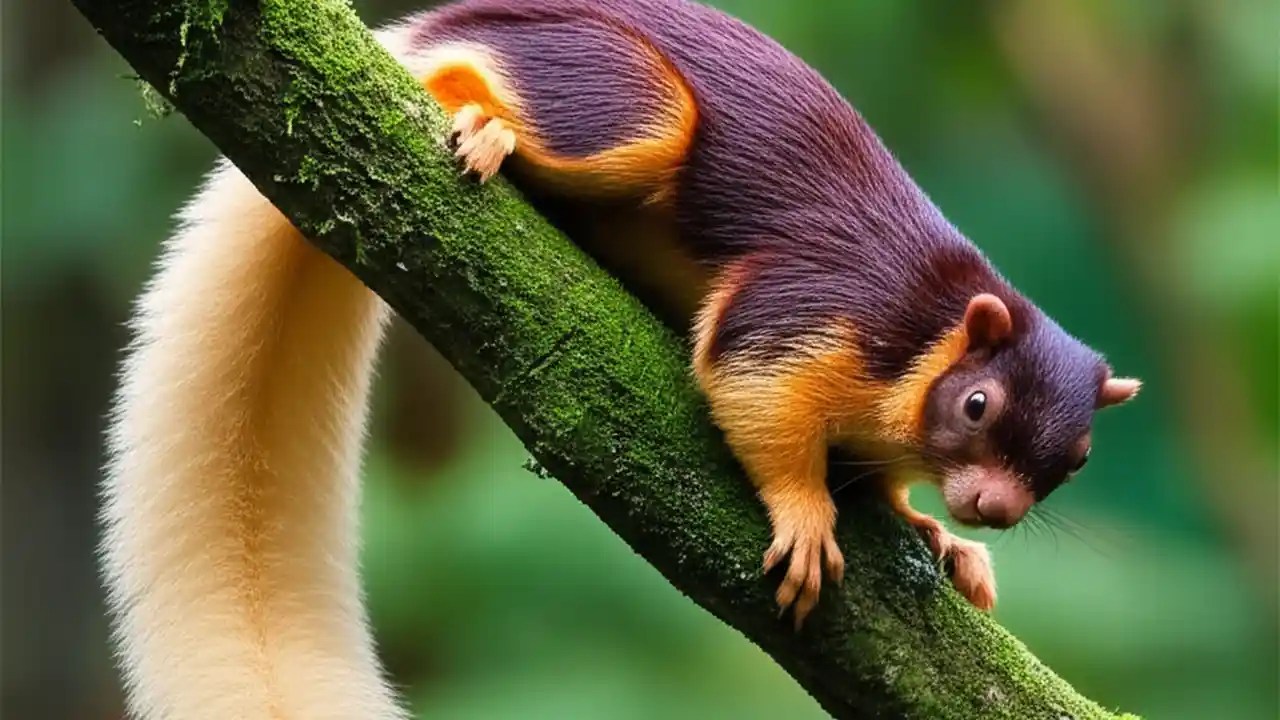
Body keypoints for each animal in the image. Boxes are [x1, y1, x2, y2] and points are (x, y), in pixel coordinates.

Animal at [102, 0, 1141, 718]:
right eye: (976, 407)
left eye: (1075, 460)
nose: (994, 508)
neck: (920, 348)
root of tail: (438, 23)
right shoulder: (823, 311)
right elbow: (751, 382)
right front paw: (807, 516)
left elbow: (879, 483)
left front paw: (938, 538)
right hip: (614, 97)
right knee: (489, 80)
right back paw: (481, 120)